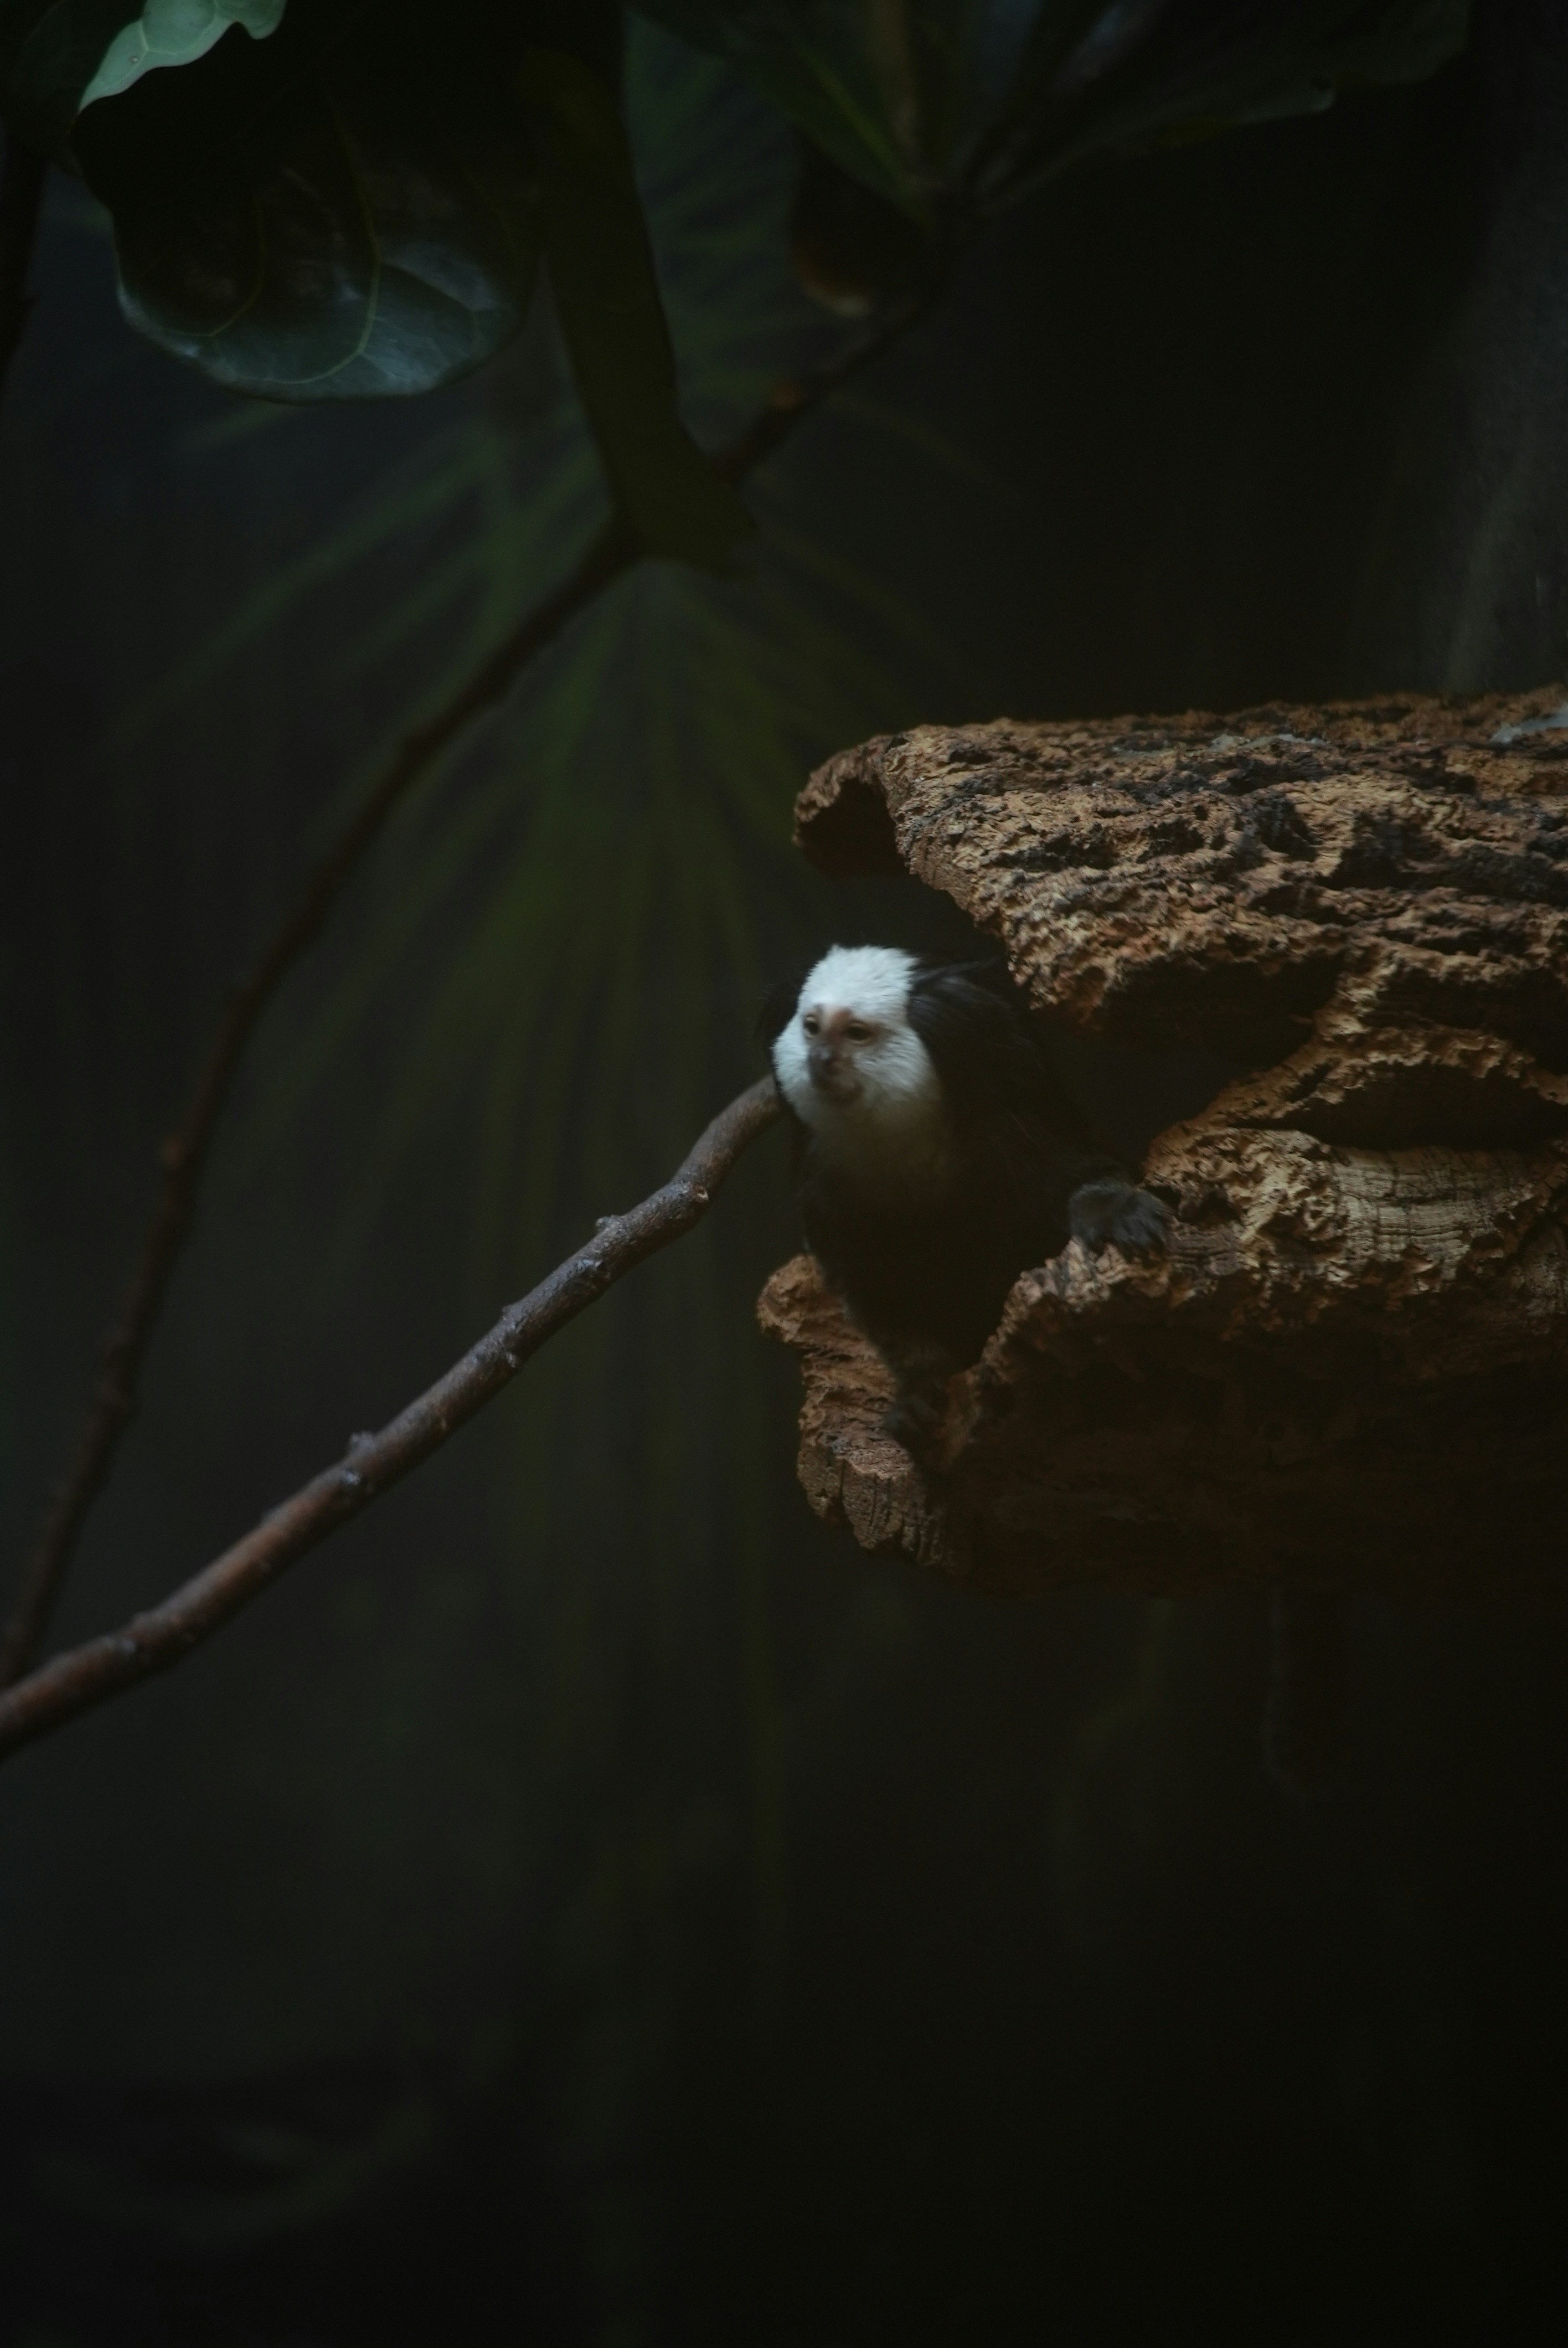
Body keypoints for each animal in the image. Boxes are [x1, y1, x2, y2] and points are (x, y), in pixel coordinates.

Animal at [762, 945, 1169, 1451]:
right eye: (812, 1027)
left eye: (855, 1034)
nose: (819, 1059)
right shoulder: (825, 1191)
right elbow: (877, 1295)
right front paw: (919, 1390)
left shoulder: (1007, 1127)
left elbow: (1074, 1177)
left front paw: (1110, 1211)